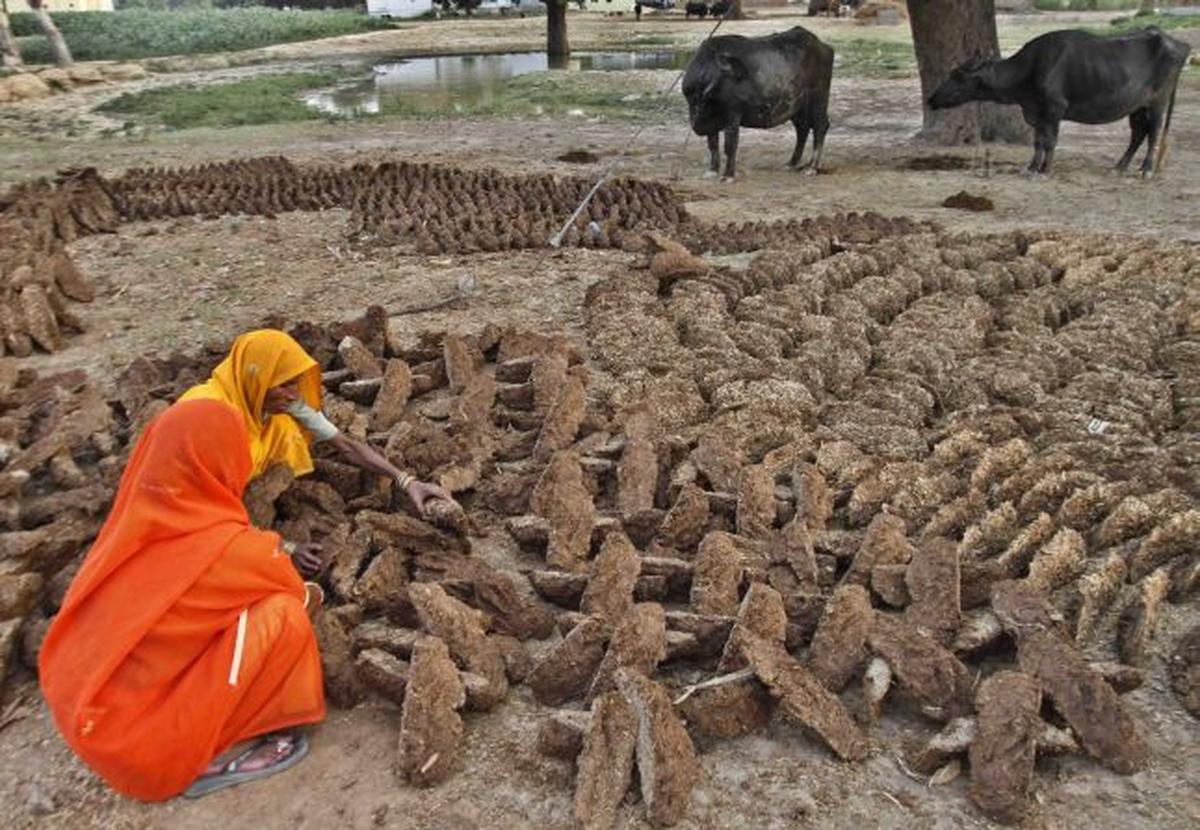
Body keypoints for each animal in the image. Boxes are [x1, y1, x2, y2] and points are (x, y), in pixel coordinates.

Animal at [682, 27, 835, 181]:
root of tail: (823, 46)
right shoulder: (712, 120)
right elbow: (712, 144)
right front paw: (712, 170)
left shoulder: (732, 115)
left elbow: (730, 145)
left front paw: (728, 175)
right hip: (796, 106)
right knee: (802, 128)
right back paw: (792, 163)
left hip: (818, 98)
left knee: (820, 126)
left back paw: (812, 167)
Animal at [928, 27, 1191, 177]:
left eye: (958, 75)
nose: (932, 98)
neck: (1030, 69)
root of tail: (1179, 44)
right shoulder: (1036, 112)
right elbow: (1038, 141)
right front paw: (1031, 168)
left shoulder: (1054, 108)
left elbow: (1050, 140)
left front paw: (1045, 170)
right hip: (1135, 105)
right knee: (1138, 133)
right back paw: (1119, 167)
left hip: (1158, 101)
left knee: (1154, 132)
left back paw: (1146, 170)